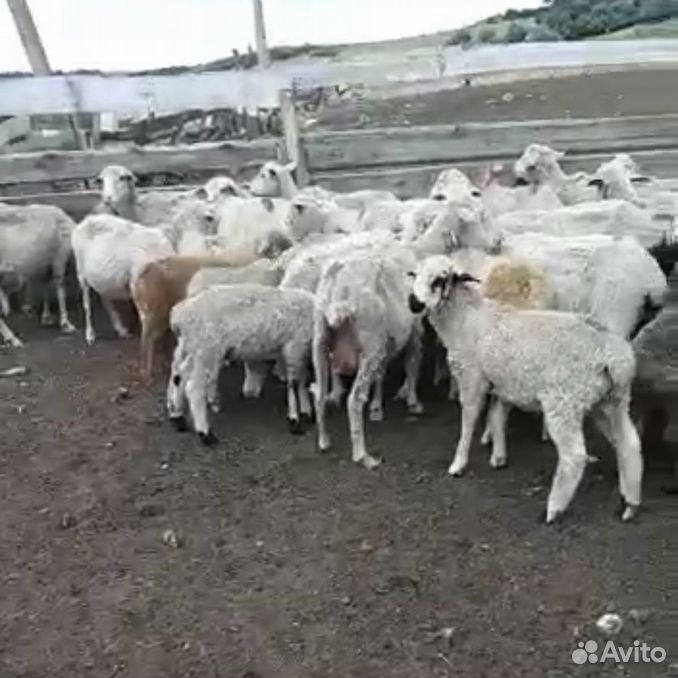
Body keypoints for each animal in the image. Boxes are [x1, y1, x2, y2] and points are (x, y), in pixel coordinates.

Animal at [0, 203, 77, 346]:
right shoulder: (59, 259)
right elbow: (60, 291)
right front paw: (65, 324)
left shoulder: (44, 264)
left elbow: (45, 286)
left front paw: (46, 317)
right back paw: (12, 338)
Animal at [71, 214, 174, 345]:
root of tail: (87, 220)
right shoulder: (137, 287)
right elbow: (145, 318)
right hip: (81, 274)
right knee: (87, 305)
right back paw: (90, 336)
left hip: (104, 281)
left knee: (106, 299)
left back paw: (121, 330)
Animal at [167, 284, 315, 442]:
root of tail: (178, 315)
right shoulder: (295, 347)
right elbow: (294, 383)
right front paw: (295, 420)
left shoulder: (301, 352)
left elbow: (302, 380)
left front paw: (306, 411)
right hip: (207, 349)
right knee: (194, 387)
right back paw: (205, 433)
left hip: (191, 349)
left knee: (178, 375)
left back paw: (178, 417)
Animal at [313, 251, 423, 469]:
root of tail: (340, 288)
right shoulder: (413, 332)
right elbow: (412, 365)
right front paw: (413, 402)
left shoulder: (385, 343)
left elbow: (381, 373)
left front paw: (376, 408)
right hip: (369, 345)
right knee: (354, 400)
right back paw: (363, 455)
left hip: (320, 340)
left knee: (320, 394)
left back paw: (324, 441)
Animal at [408, 255, 642, 523]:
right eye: (414, 274)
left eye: (439, 280)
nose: (413, 303)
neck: (464, 320)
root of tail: (612, 355)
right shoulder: (502, 383)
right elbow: (497, 415)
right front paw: (499, 457)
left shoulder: (472, 378)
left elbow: (469, 421)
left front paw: (458, 464)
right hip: (611, 401)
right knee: (629, 444)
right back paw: (630, 502)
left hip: (564, 402)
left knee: (574, 455)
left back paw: (555, 508)